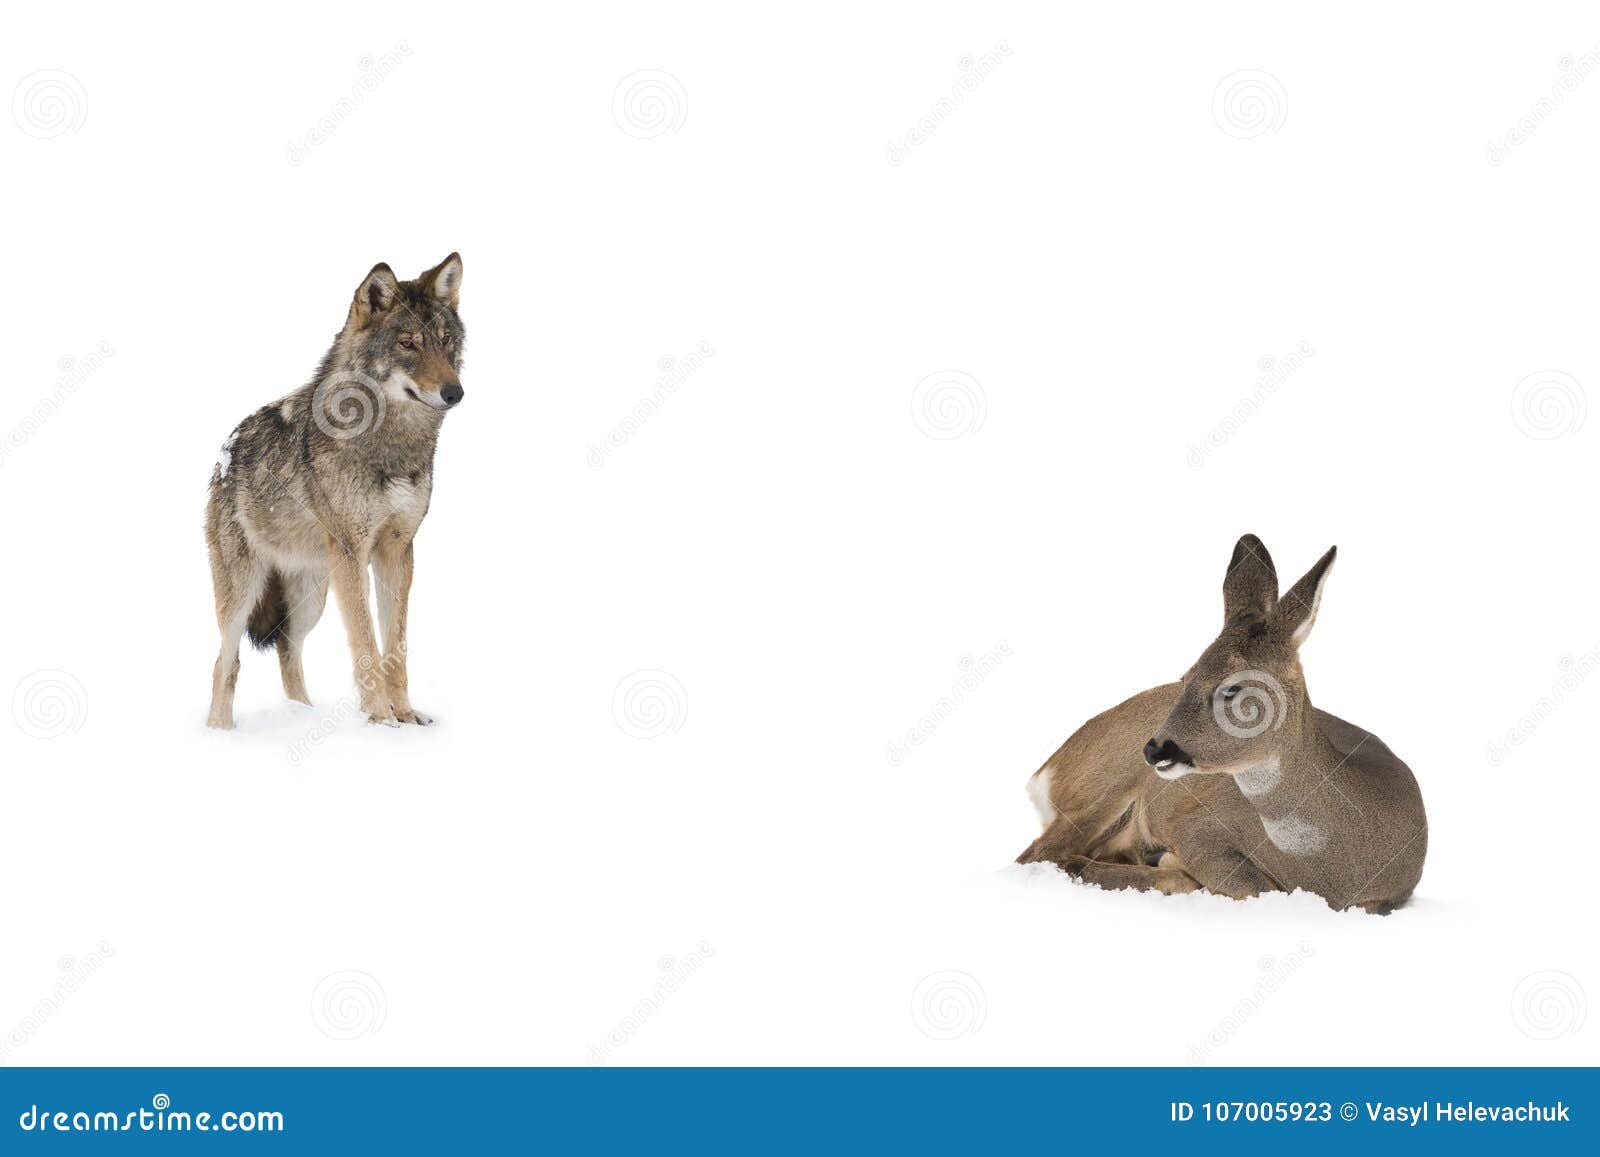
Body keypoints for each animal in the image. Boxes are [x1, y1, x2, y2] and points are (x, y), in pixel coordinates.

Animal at [204, 254, 467, 729]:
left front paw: (405, 717)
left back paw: (301, 713)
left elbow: (395, 646)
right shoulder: (351, 550)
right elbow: (365, 642)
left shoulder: (397, 549)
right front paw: (381, 720)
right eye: (407, 344)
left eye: (445, 341)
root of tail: (224, 456)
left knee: (288, 649)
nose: (454, 392)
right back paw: (221, 731)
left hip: (312, 598)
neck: (392, 445)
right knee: (225, 663)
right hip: (244, 593)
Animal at [1016, 534, 1427, 913]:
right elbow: (1249, 885)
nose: (1155, 748)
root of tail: (1043, 771)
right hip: (1104, 784)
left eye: (1233, 688)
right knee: (1037, 855)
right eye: (1186, 677)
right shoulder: (1197, 828)